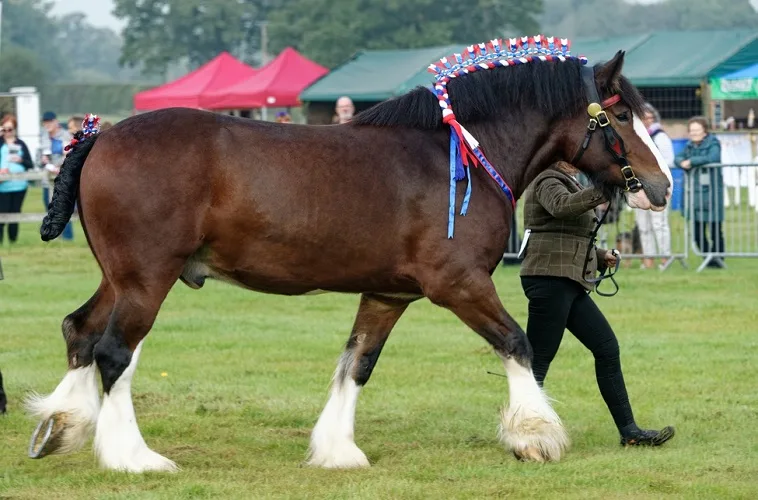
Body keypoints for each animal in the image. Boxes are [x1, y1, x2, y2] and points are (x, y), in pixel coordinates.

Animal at [26, 40, 672, 472]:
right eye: (619, 114)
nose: (661, 187)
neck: (460, 155)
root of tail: (99, 136)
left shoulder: (388, 293)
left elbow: (356, 364)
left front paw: (337, 449)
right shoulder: (458, 284)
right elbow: (518, 343)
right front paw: (535, 435)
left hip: (120, 277)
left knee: (81, 331)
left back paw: (61, 427)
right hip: (147, 278)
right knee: (114, 352)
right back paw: (134, 457)